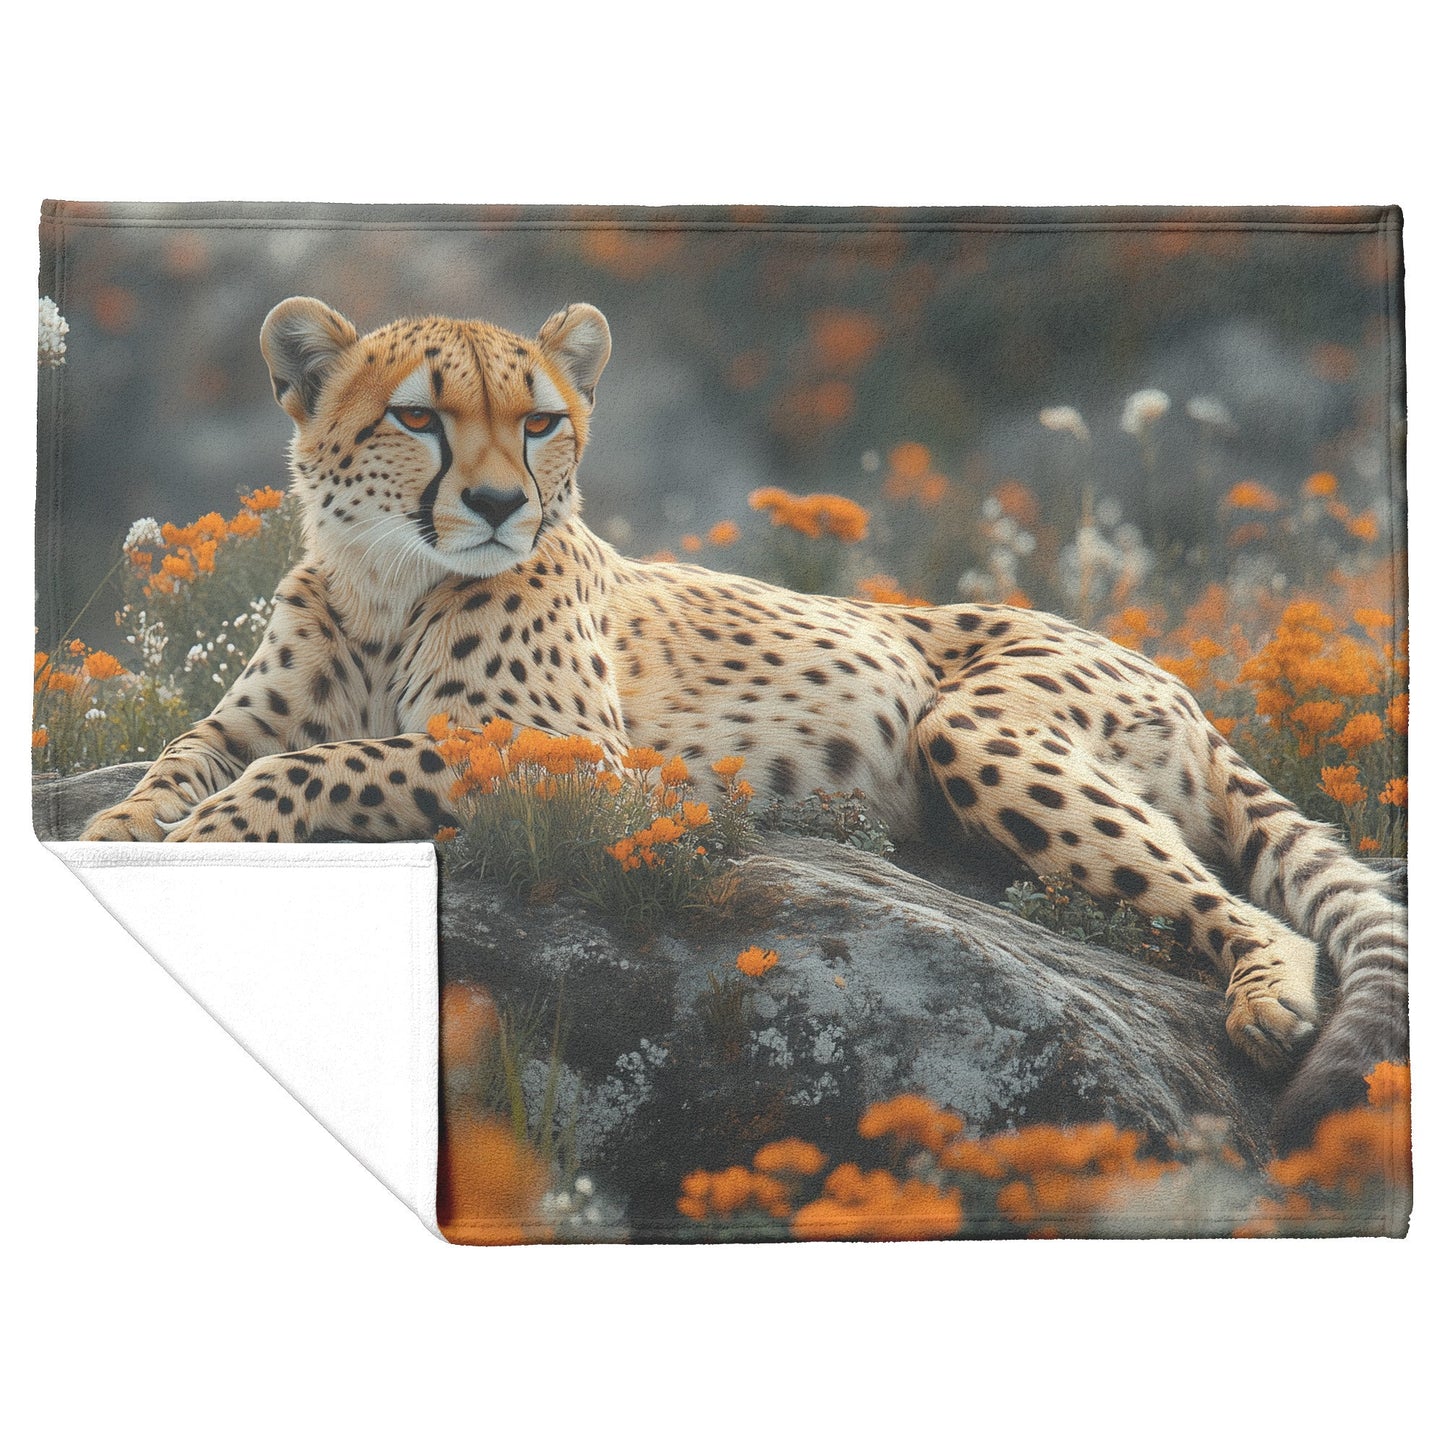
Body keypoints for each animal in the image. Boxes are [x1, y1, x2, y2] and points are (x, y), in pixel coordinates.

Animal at [82, 295, 1408, 1146]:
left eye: (540, 421)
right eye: (418, 417)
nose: (502, 503)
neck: (383, 579)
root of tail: (1171, 671)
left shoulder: (580, 761)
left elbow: (327, 760)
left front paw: (213, 833)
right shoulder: (246, 718)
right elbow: (186, 756)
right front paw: (130, 825)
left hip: (976, 729)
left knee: (1249, 909)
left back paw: (1262, 997)